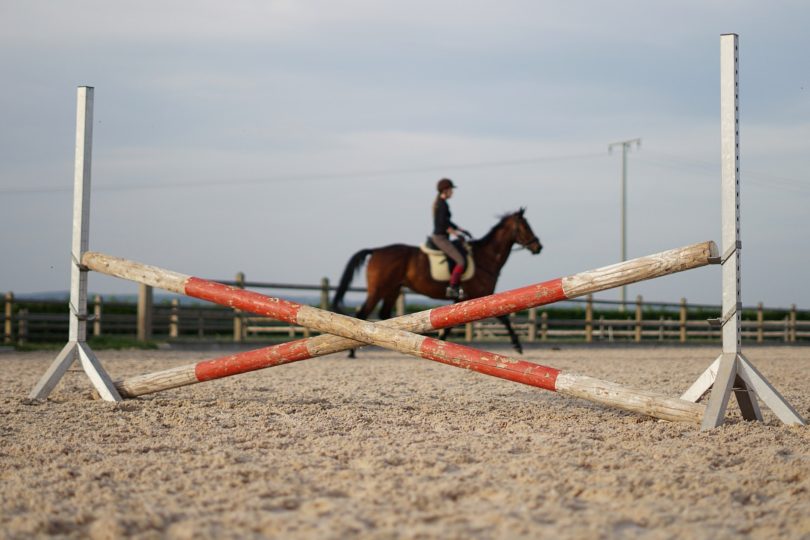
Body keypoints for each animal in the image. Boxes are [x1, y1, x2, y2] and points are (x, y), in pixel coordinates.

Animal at [331, 208, 543, 356]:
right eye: (525, 226)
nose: (538, 247)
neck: (486, 257)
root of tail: (376, 250)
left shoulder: (462, 300)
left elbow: (448, 325)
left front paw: (440, 343)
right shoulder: (480, 295)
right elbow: (504, 318)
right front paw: (517, 345)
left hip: (393, 289)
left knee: (383, 315)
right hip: (378, 289)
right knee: (362, 314)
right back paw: (352, 352)